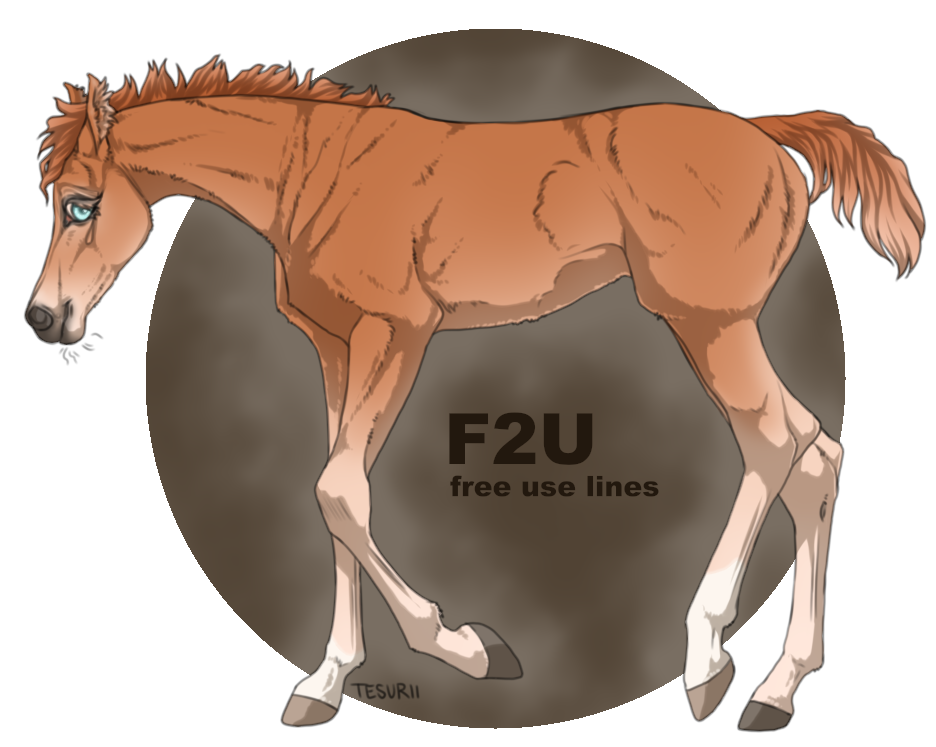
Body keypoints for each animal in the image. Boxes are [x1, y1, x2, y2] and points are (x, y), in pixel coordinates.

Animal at [27, 58, 923, 731]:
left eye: (81, 204)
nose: (45, 317)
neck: (311, 173)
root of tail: (768, 134)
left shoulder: (396, 332)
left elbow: (340, 491)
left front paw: (474, 648)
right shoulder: (333, 349)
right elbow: (332, 496)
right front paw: (323, 680)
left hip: (709, 322)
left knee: (774, 441)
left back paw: (706, 660)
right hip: (722, 327)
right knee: (816, 450)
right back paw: (778, 687)